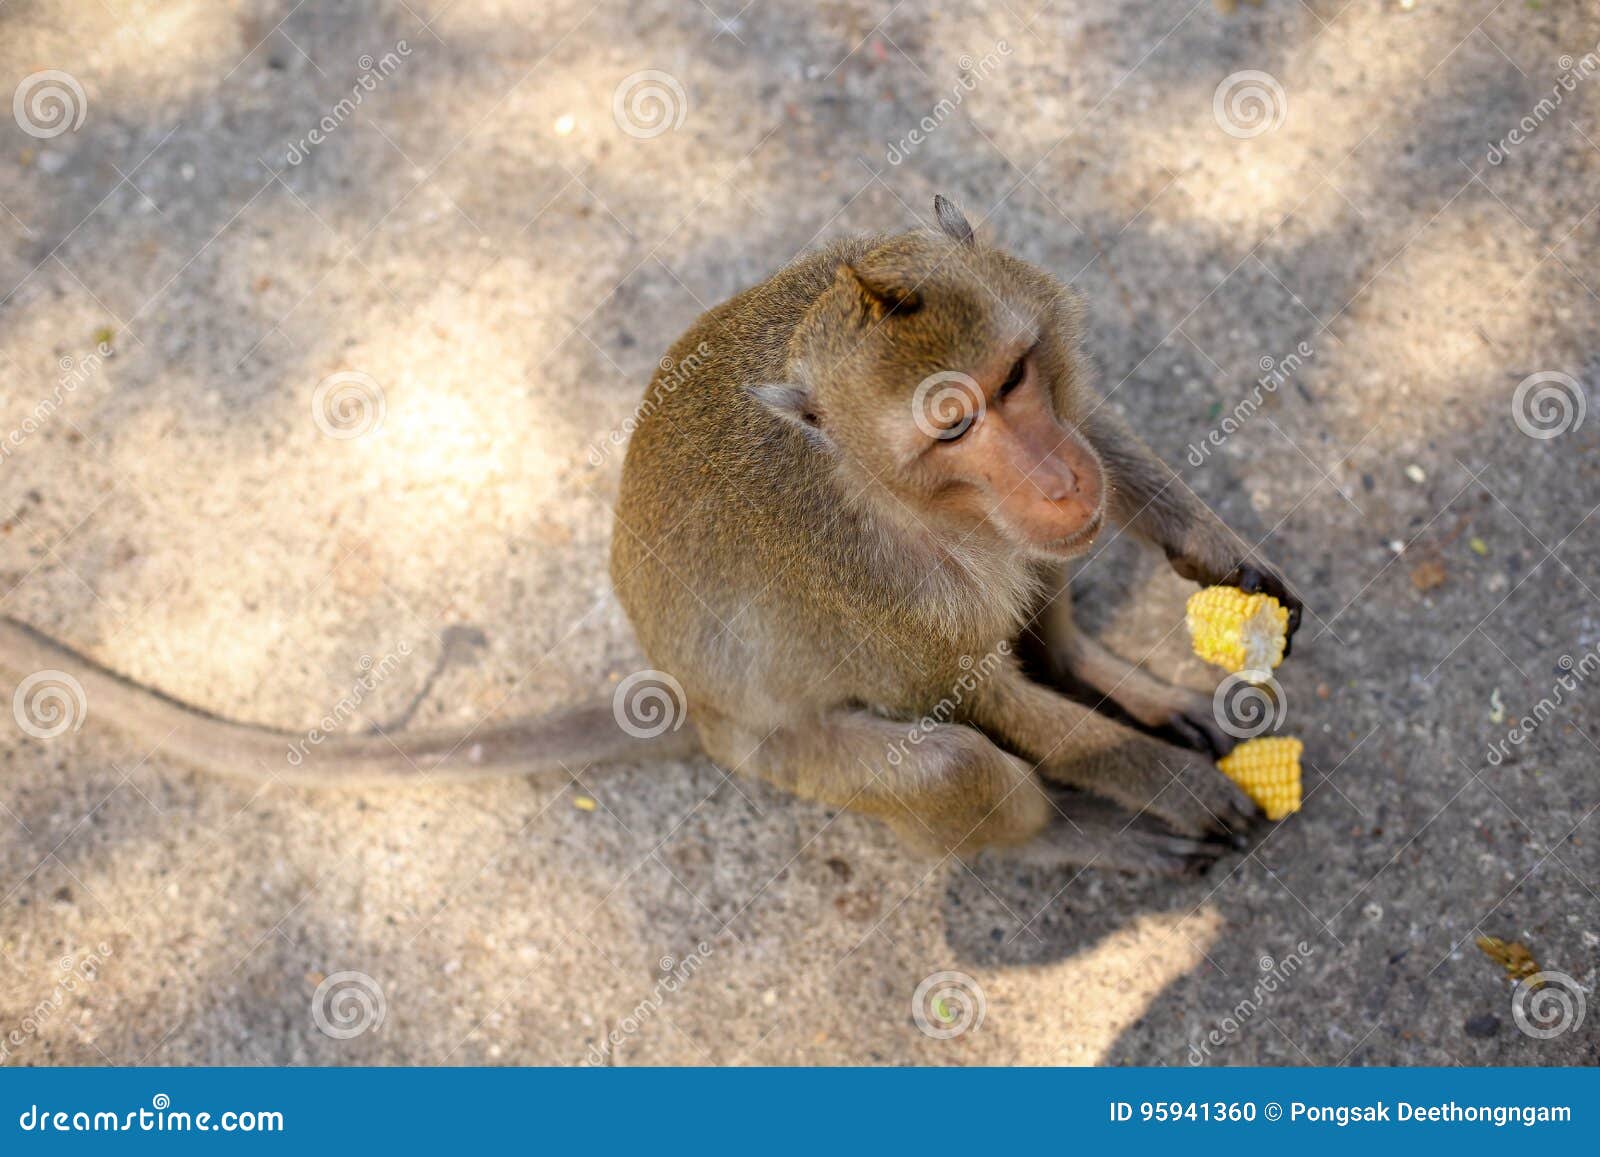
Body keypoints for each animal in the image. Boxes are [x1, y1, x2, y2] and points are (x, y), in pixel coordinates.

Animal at [0, 195, 1300, 876]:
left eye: (1015, 376)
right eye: (952, 426)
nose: (1049, 472)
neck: (902, 498)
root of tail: (695, 702)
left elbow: (1105, 448)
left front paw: (1204, 545)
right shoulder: (877, 593)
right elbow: (972, 703)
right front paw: (1157, 785)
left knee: (1034, 578)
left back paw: (1102, 669)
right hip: (788, 756)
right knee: (956, 764)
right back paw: (1077, 834)